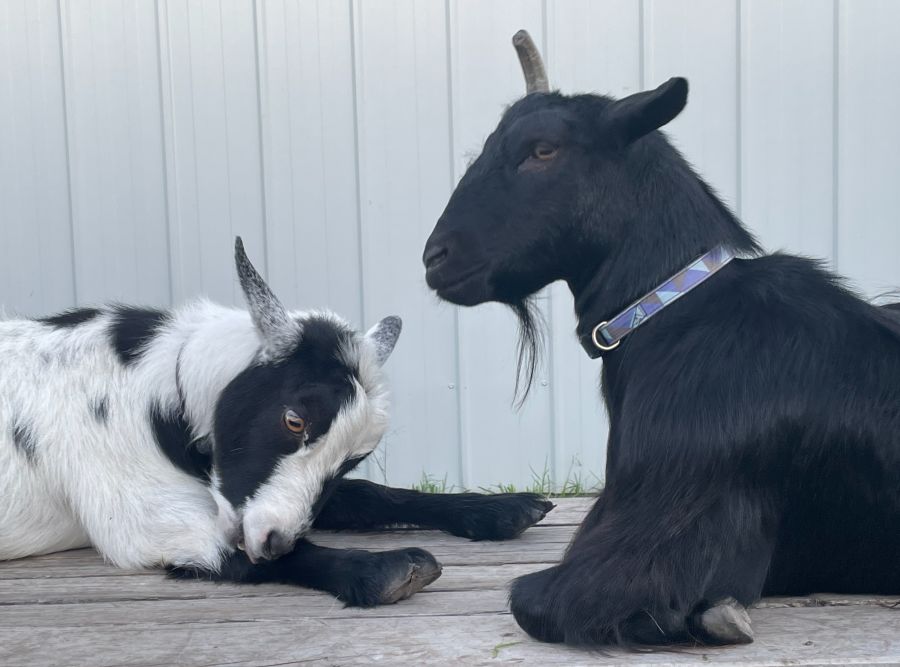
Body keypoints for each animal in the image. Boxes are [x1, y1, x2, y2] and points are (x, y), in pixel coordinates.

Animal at [0, 237, 553, 606]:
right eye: (294, 420)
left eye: (354, 458)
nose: (275, 539)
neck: (159, 390)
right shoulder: (149, 523)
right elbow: (236, 555)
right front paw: (389, 567)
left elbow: (371, 497)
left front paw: (501, 508)